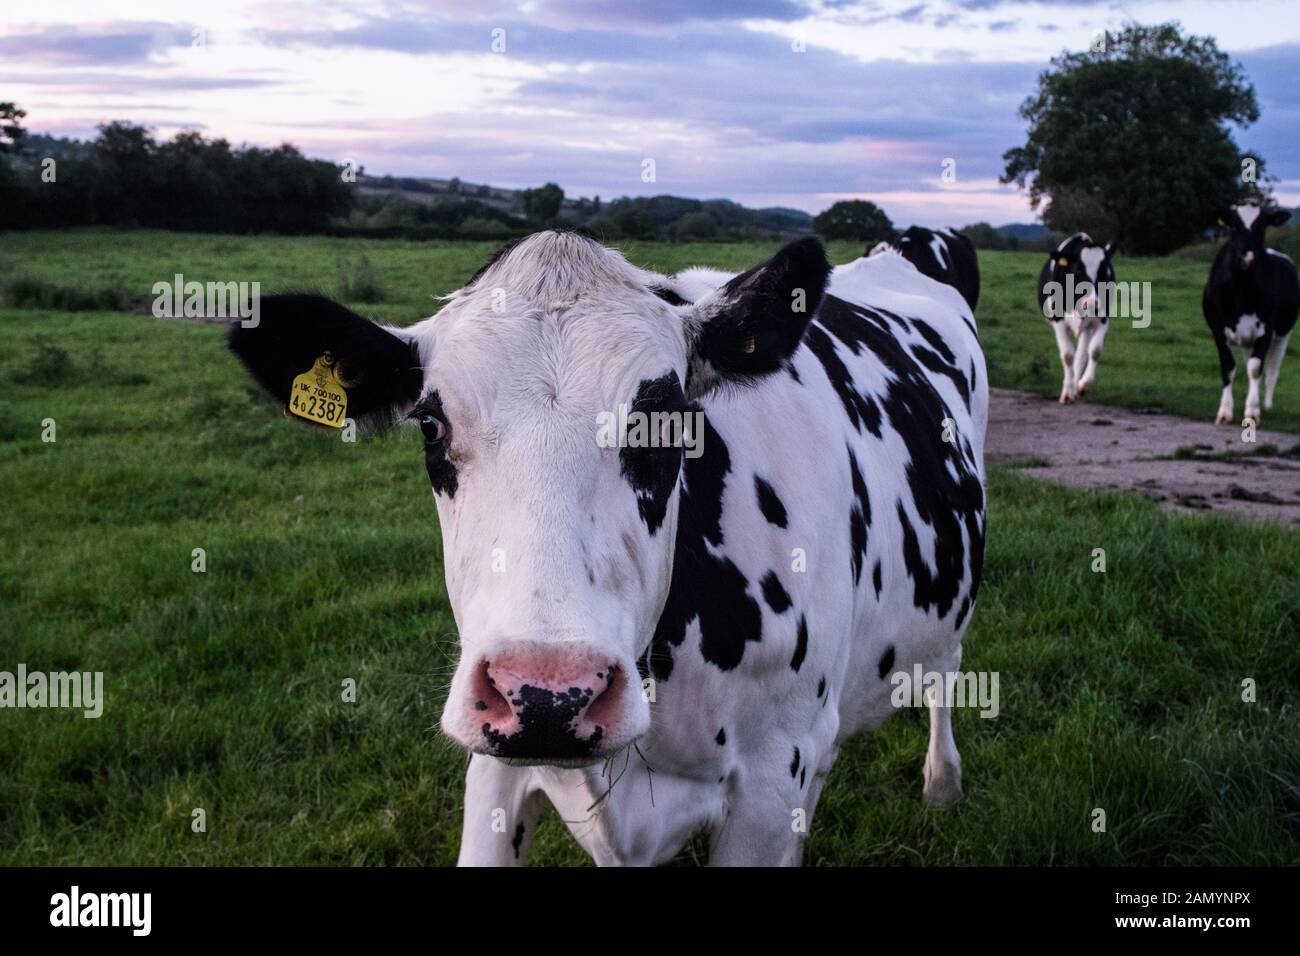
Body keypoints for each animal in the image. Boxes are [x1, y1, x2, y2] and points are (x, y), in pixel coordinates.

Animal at [228, 231, 987, 866]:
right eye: (431, 426)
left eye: (672, 424)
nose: (548, 696)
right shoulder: (493, 765)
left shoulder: (771, 779)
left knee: (946, 672)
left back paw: (943, 783)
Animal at [1037, 233, 1117, 404]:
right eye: (1078, 270)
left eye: (1104, 271)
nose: (1092, 304)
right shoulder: (1058, 320)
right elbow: (1067, 356)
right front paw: (1066, 394)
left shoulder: (1103, 317)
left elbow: (1095, 351)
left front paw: (1082, 385)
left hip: (1086, 328)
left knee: (1081, 355)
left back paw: (1075, 387)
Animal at [1203, 202, 1298, 425]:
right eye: (1234, 226)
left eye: (1262, 227)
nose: (1247, 256)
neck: (1242, 292)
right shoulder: (1218, 329)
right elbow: (1228, 367)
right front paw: (1225, 412)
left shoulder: (1266, 330)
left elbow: (1256, 369)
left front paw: (1253, 411)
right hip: (1248, 339)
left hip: (1283, 334)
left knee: (1271, 370)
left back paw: (1267, 405)